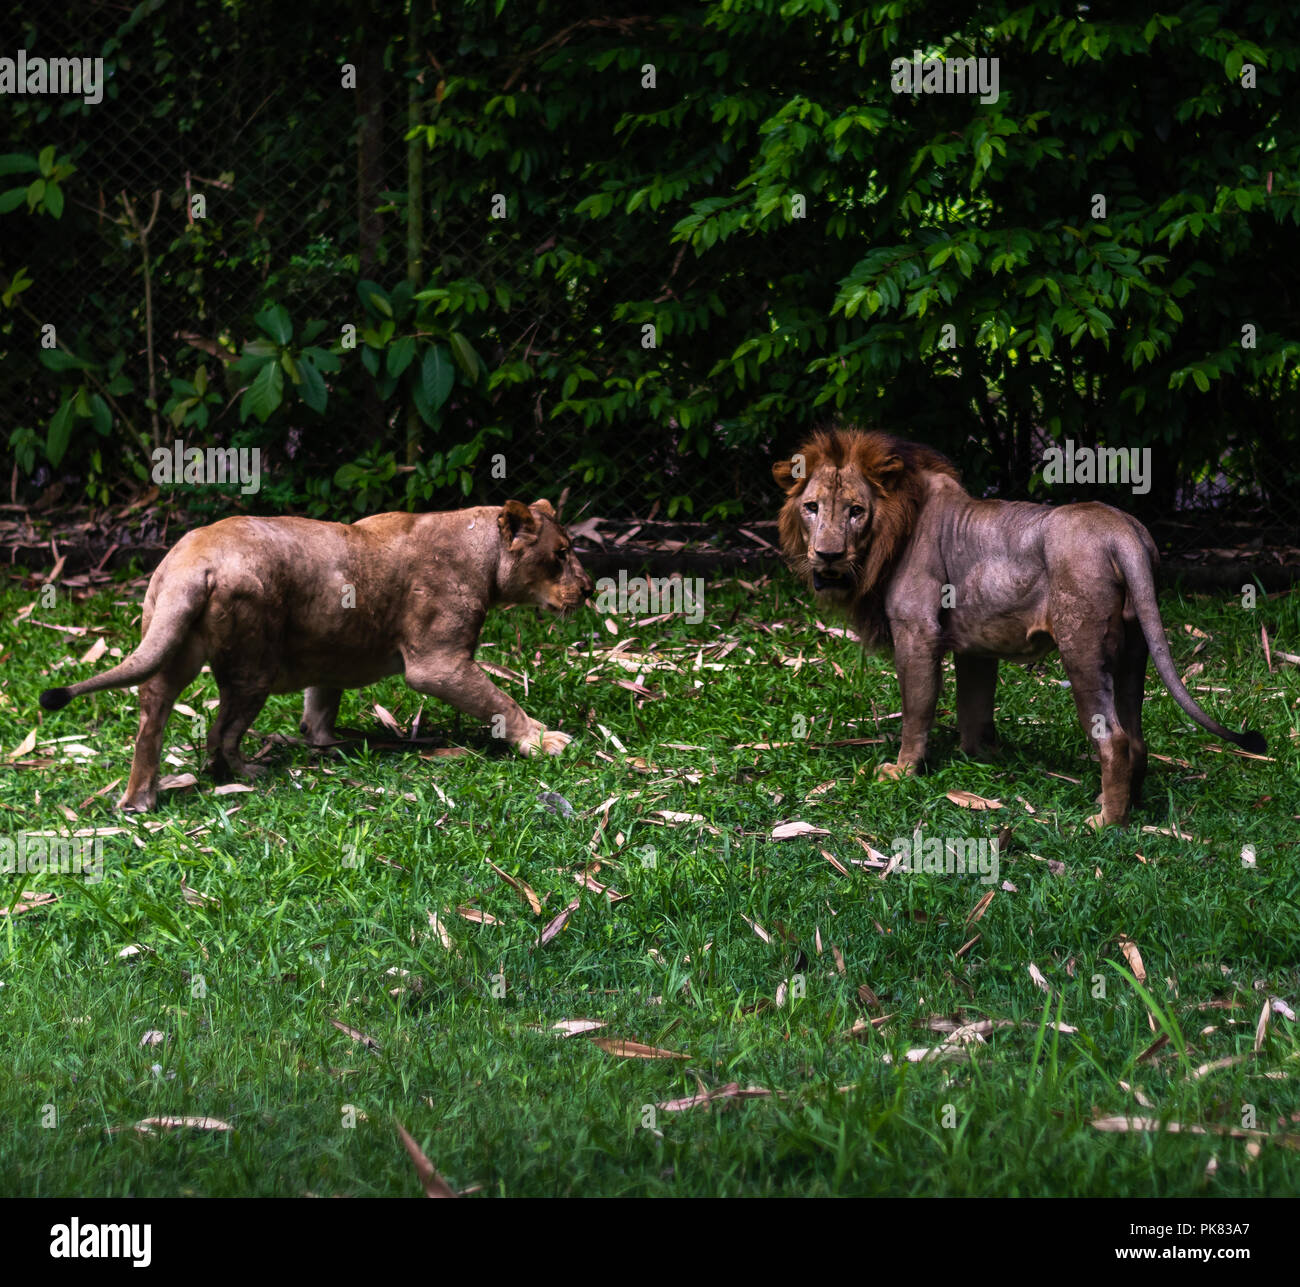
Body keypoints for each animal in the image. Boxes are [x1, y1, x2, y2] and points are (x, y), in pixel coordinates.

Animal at [39, 499, 592, 812]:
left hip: (170, 645)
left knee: (151, 719)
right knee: (221, 733)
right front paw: (543, 741)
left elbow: (321, 703)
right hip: (253, 666)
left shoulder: (335, 645)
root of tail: (191, 562)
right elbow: (500, 701)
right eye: (560, 554)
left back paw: (138, 801)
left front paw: (327, 743)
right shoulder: (438, 663)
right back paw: (246, 775)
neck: (483, 553)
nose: (589, 589)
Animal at [774, 429, 1266, 828]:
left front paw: (901, 772)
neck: (892, 530)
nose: (828, 556)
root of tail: (1123, 531)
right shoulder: (974, 644)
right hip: (1135, 648)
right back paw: (1129, 806)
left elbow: (917, 710)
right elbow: (974, 708)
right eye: (811, 508)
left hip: (1082, 647)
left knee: (1114, 737)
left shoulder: (916, 632)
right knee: (1137, 735)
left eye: (856, 511)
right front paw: (981, 759)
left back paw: (1104, 822)